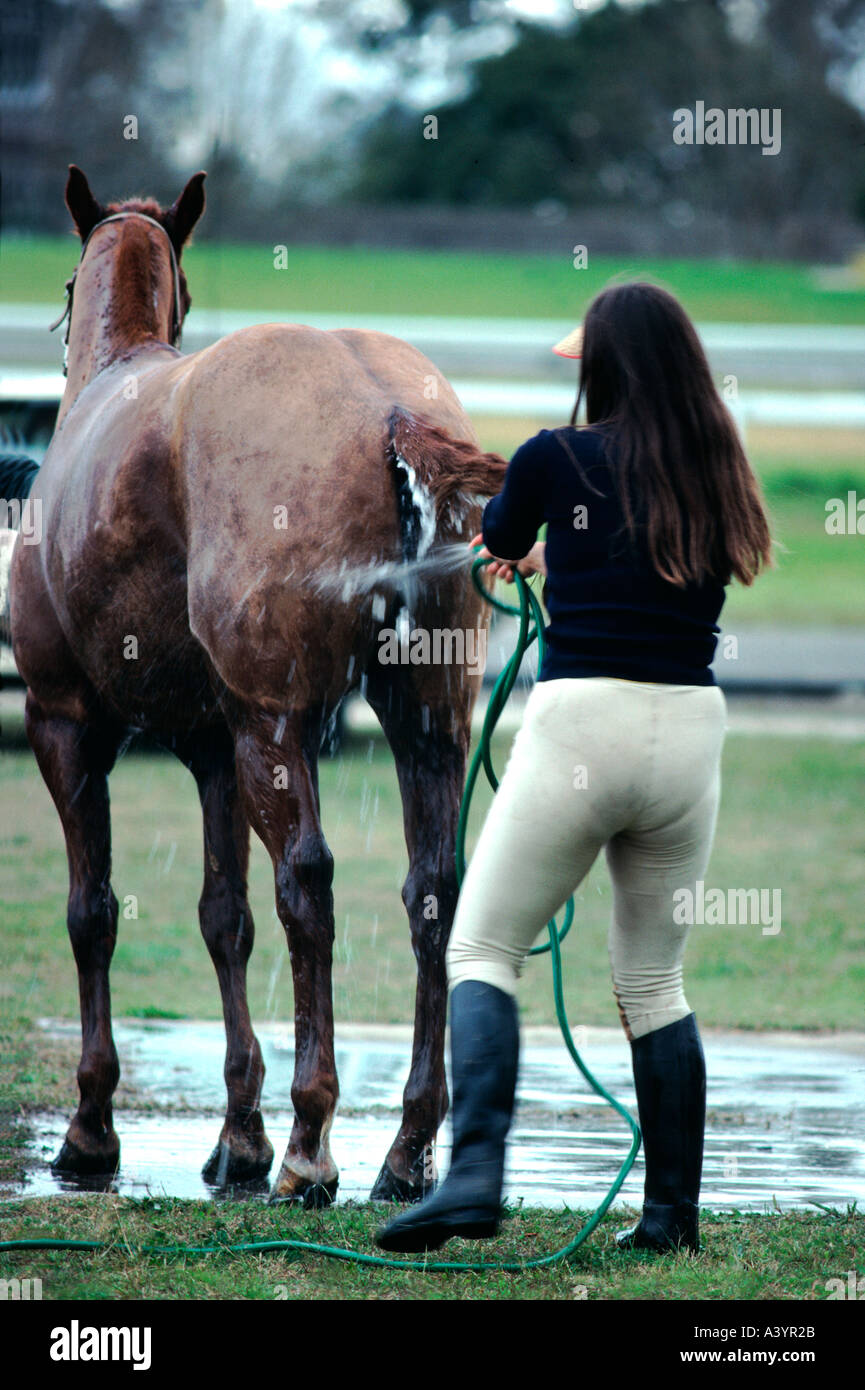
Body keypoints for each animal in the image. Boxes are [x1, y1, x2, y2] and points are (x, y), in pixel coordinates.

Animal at [10, 166, 508, 1205]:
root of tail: (384, 407)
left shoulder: (64, 725)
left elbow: (92, 914)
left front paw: (91, 1130)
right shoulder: (212, 748)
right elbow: (222, 919)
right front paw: (236, 1137)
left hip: (274, 733)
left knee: (307, 886)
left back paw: (311, 1144)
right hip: (423, 724)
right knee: (432, 889)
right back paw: (406, 1147)